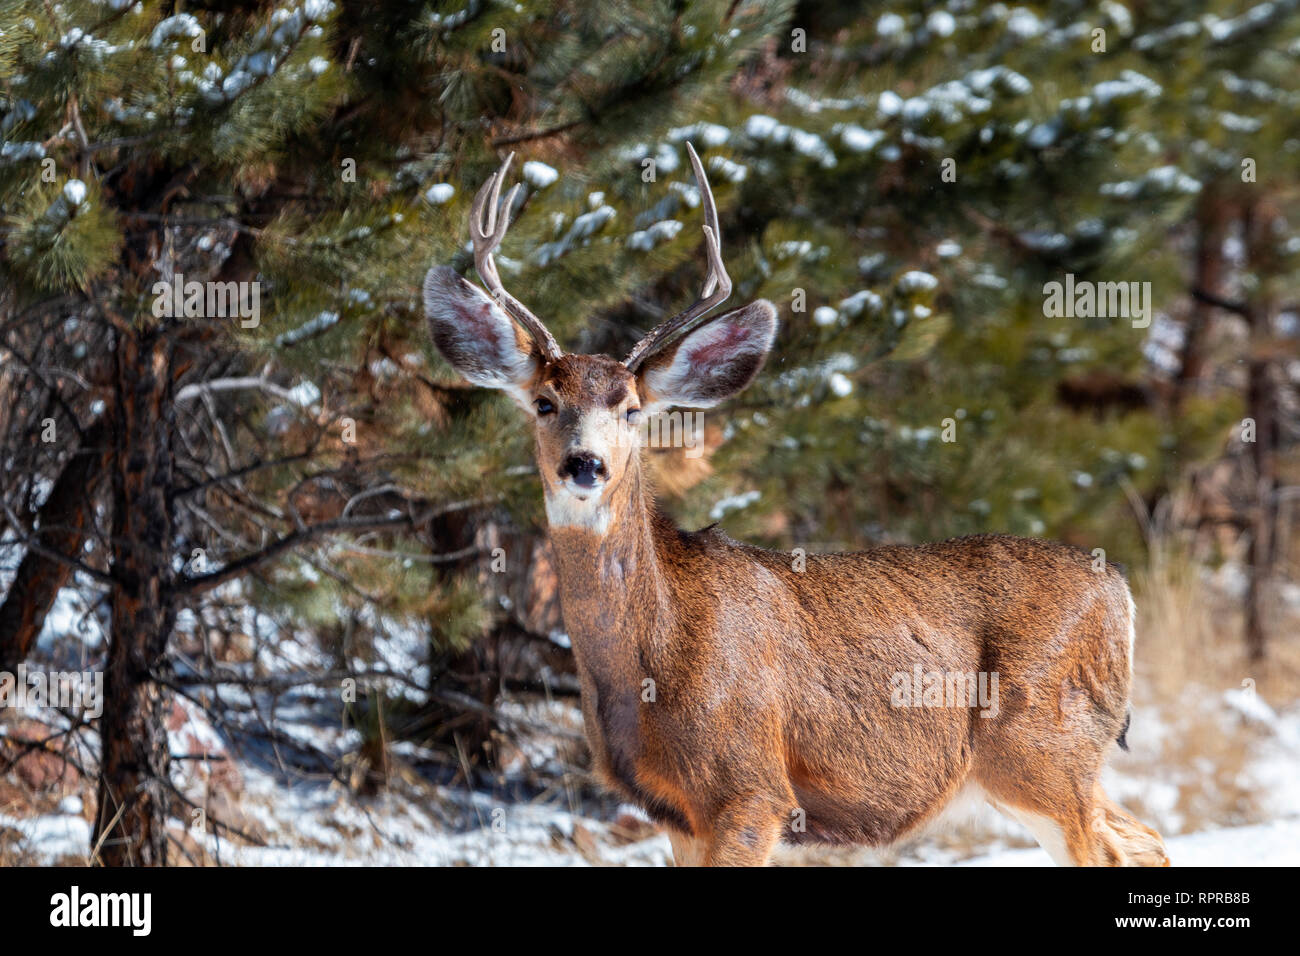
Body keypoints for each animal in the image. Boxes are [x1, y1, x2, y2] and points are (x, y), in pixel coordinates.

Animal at [423, 144, 1170, 867]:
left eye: (632, 409)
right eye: (545, 403)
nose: (585, 464)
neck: (654, 656)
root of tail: (1121, 587)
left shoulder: (751, 788)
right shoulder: (676, 814)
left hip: (1041, 747)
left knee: (1111, 848)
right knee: (1148, 840)